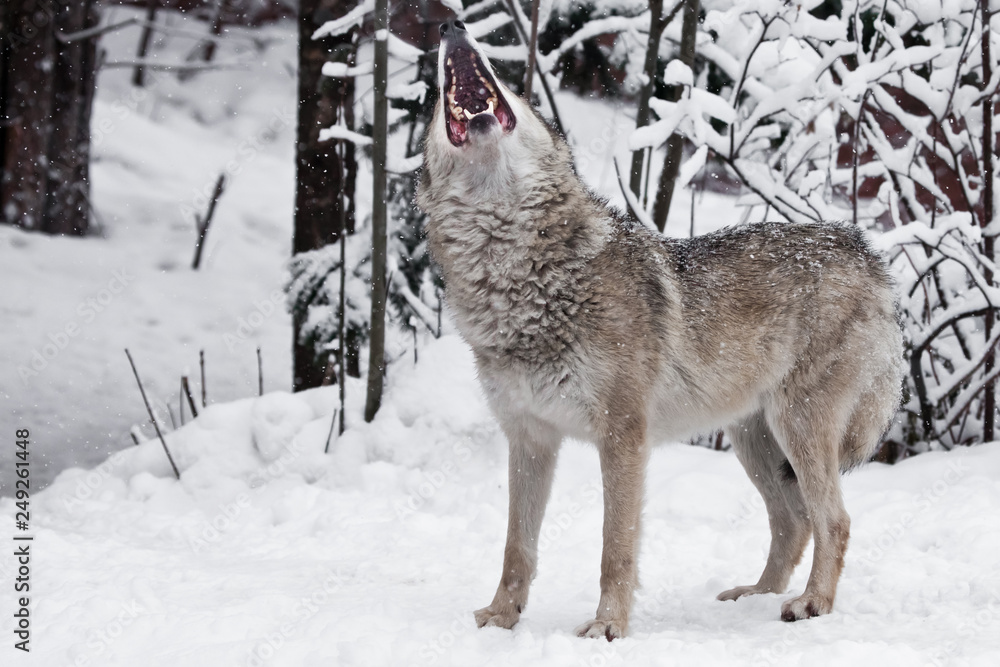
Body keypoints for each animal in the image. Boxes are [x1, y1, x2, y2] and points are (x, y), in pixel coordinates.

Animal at [416, 20, 903, 639]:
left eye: (514, 91)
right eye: (436, 102)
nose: (451, 26)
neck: (522, 276)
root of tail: (865, 250)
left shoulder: (623, 435)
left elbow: (614, 547)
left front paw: (607, 628)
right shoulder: (528, 439)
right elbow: (515, 547)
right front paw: (502, 619)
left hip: (797, 428)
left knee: (834, 520)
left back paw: (810, 604)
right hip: (755, 442)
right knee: (793, 523)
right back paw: (754, 597)